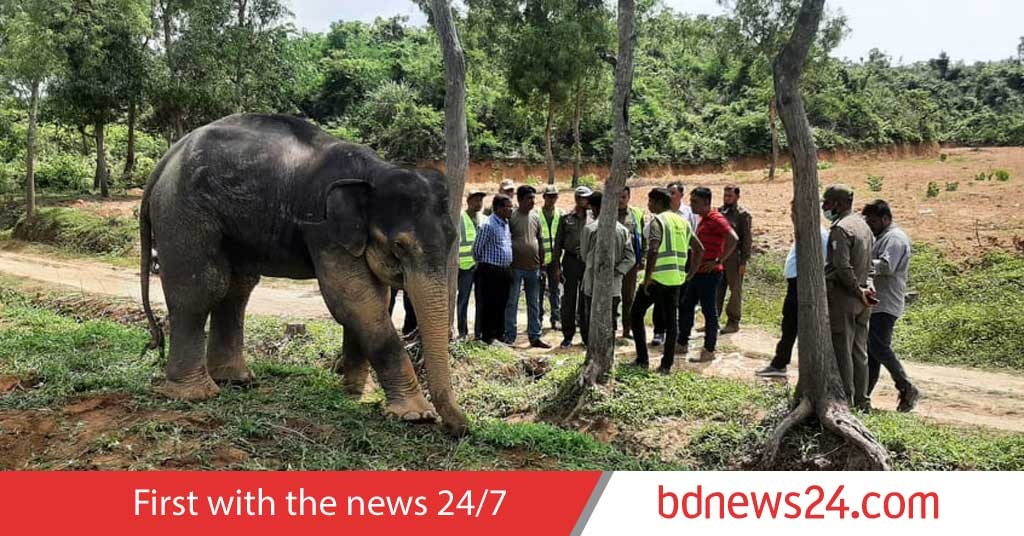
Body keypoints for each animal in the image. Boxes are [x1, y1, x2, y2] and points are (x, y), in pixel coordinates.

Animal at [139, 113, 467, 436]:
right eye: (400, 245)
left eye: (453, 238)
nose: (460, 429)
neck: (374, 171)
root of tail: (167, 159)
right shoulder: (323, 228)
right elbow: (355, 301)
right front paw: (415, 415)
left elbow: (370, 298)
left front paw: (357, 393)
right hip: (184, 211)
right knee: (201, 289)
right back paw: (196, 394)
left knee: (236, 289)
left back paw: (236, 380)